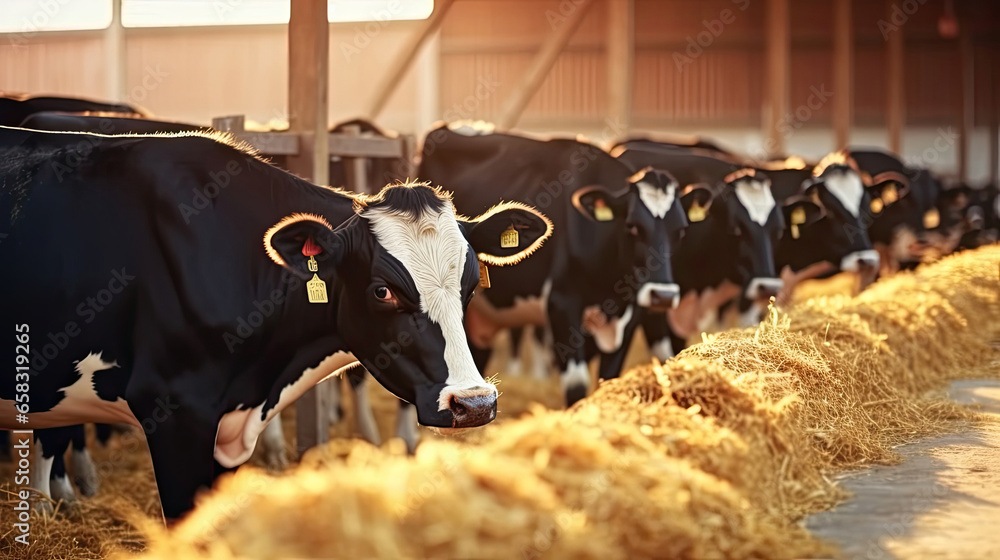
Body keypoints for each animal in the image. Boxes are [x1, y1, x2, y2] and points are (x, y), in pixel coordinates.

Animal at [418, 123, 687, 406]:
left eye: (680, 231)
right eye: (633, 226)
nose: (663, 296)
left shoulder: (632, 312)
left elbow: (609, 380)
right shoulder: (561, 303)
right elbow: (577, 387)